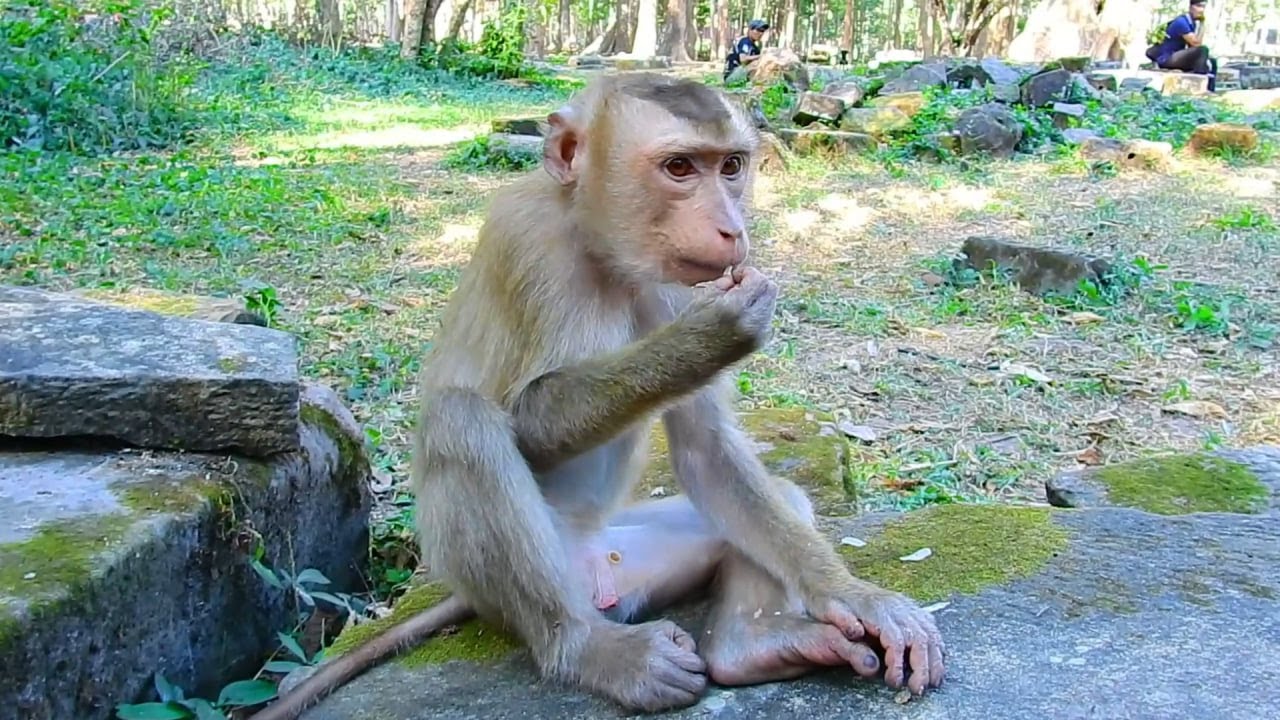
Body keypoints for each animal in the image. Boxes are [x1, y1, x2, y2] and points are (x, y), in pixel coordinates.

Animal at [250, 72, 944, 720]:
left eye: (731, 166)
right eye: (679, 168)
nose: (731, 227)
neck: (600, 250)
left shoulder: (680, 282)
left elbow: (707, 449)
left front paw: (857, 596)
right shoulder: (530, 246)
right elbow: (527, 421)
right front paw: (711, 336)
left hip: (634, 559)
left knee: (771, 500)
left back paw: (757, 647)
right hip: (487, 577)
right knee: (463, 421)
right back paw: (591, 649)